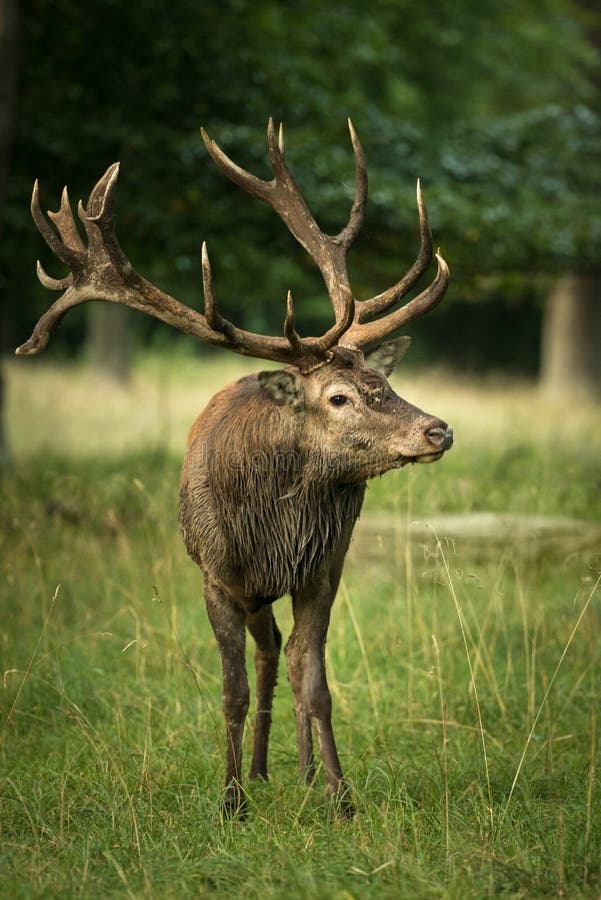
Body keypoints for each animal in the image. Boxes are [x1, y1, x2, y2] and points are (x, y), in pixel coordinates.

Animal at [17, 120, 453, 818]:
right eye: (339, 397)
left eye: (385, 383)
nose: (437, 429)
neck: (270, 525)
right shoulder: (217, 577)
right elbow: (231, 690)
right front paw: (229, 802)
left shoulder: (322, 569)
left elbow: (316, 682)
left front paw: (340, 797)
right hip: (241, 584)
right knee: (266, 652)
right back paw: (255, 773)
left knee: (286, 653)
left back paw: (291, 770)